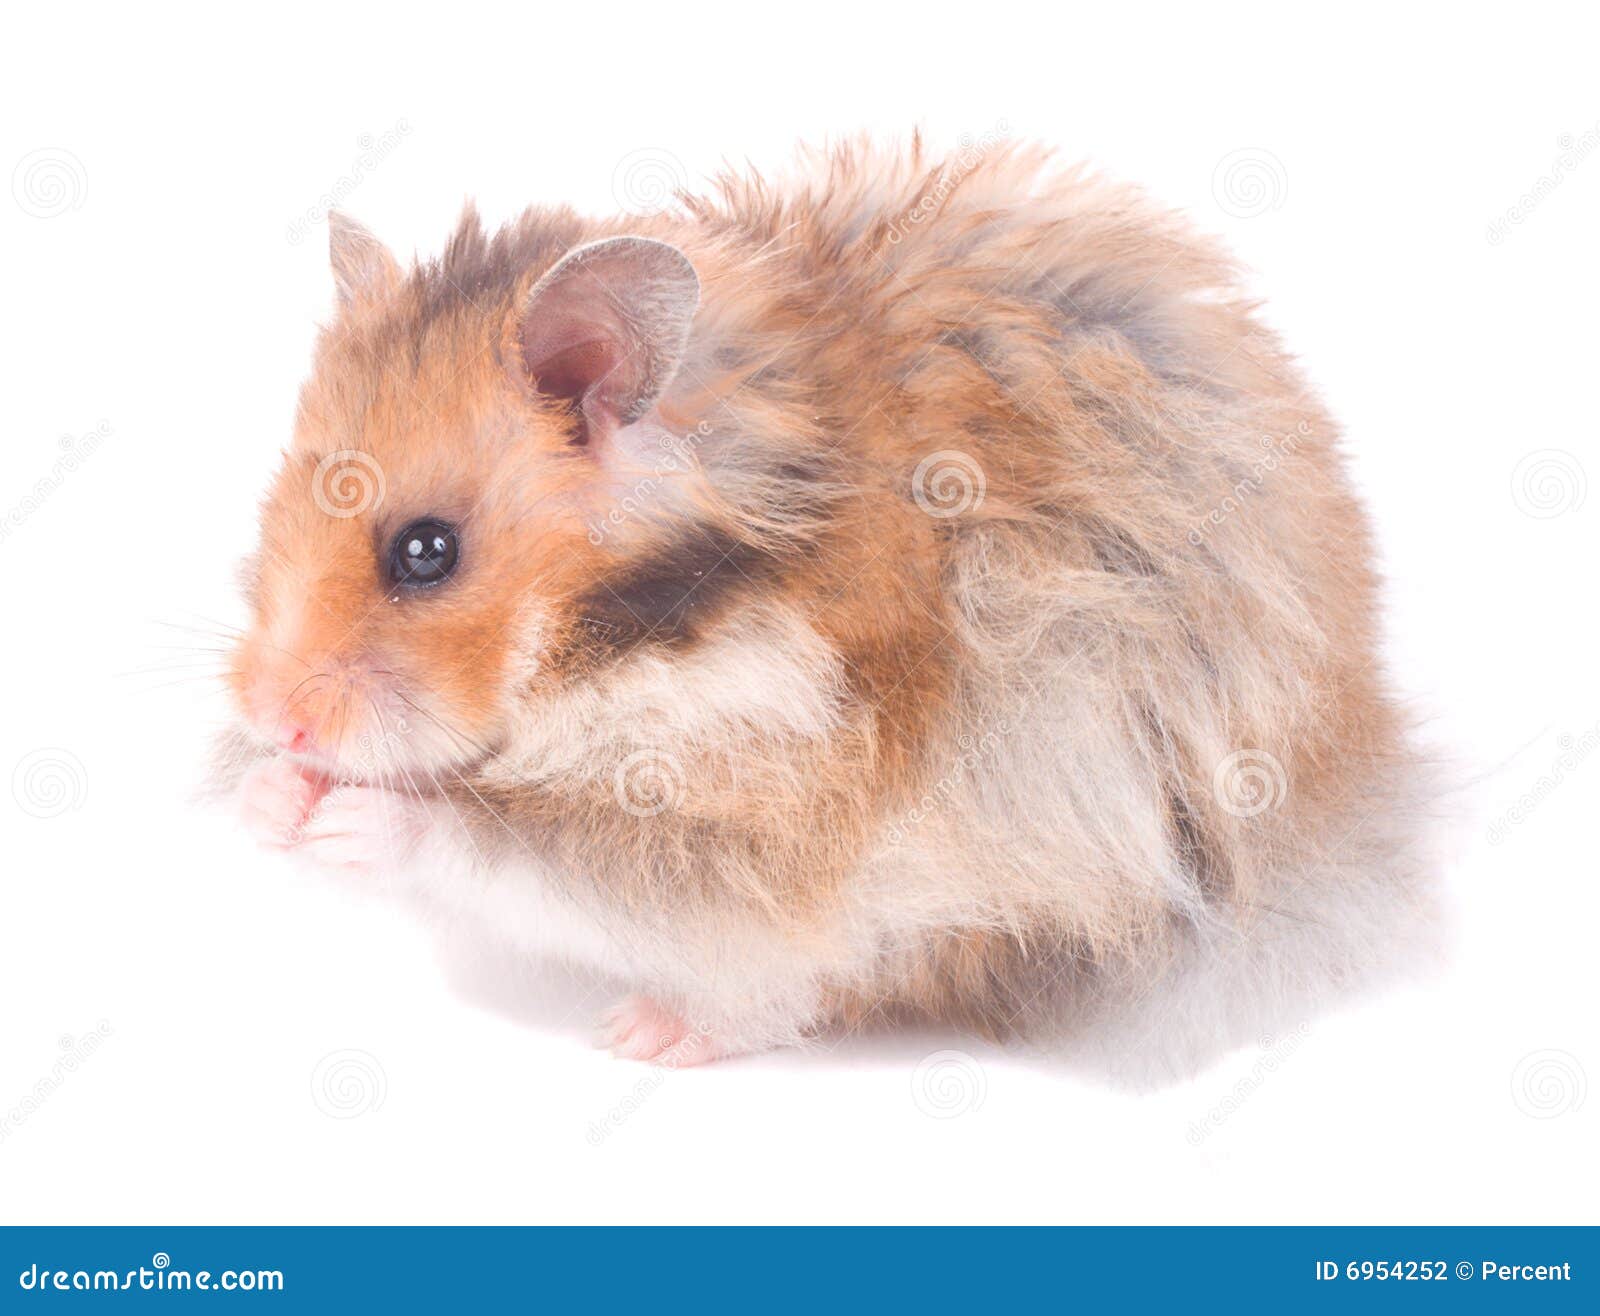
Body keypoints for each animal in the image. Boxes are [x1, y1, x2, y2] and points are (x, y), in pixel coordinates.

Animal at [223, 138, 1440, 1080]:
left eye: (426, 553)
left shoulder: (767, 815)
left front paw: (341, 814)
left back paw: (648, 1034)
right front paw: (267, 797)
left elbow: (516, 842)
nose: (274, 718)